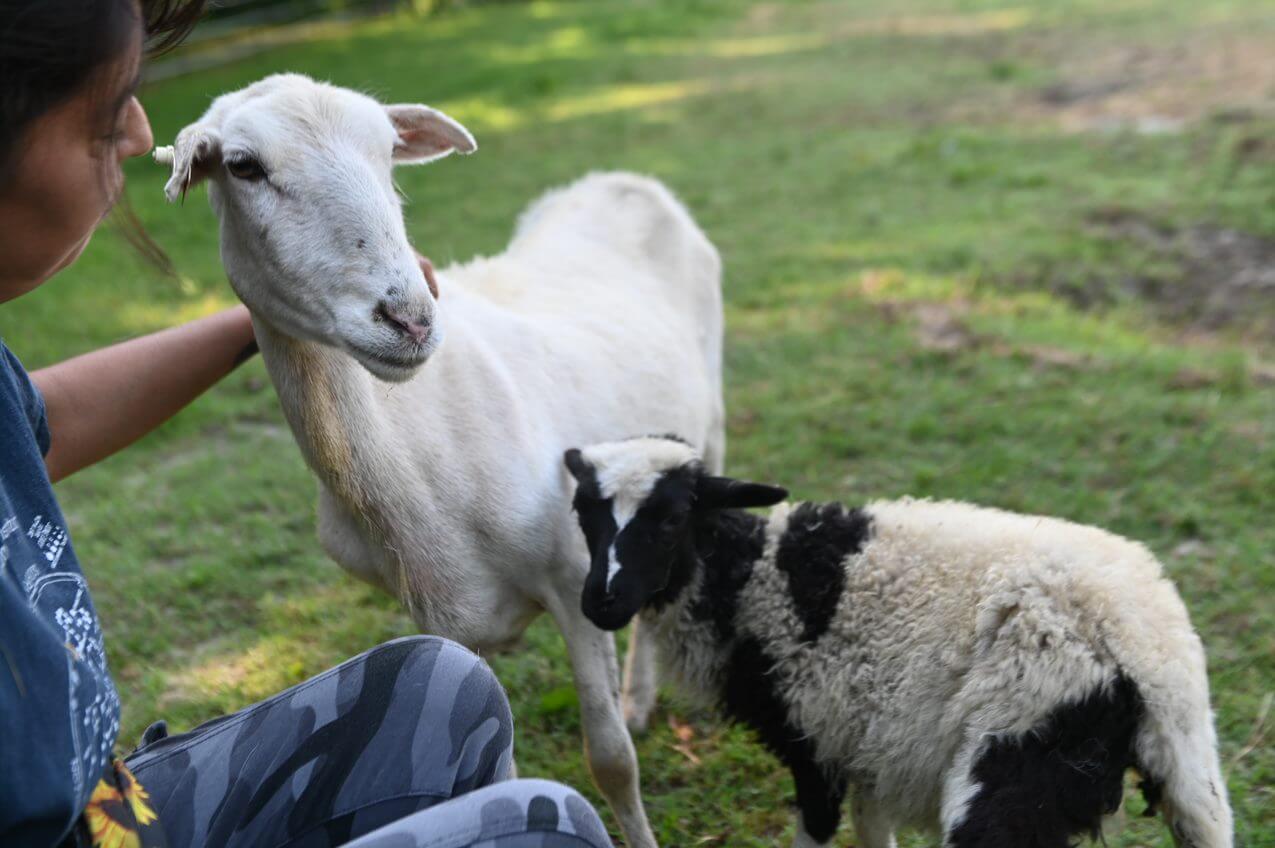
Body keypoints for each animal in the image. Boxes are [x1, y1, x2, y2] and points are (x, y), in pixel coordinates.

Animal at [563, 436, 1234, 848]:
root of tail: (1137, 651)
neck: (747, 578)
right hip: (1192, 777)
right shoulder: (869, 746)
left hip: (1015, 746)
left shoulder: (818, 742)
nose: (600, 603)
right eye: (582, 515)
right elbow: (872, 832)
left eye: (672, 518)